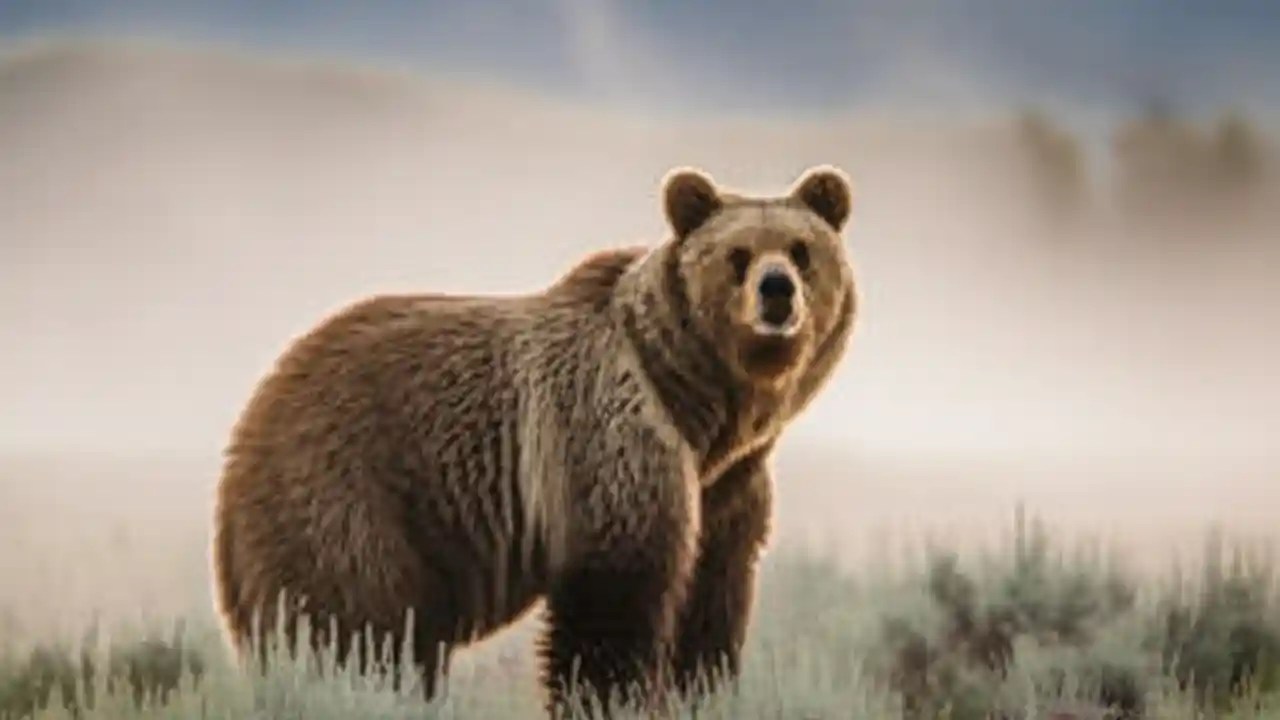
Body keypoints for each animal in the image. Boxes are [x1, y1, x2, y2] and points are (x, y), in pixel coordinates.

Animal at [211, 164, 859, 716]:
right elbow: (611, 603)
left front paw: (702, 690)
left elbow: (712, 600)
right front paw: (608, 700)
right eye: (737, 254)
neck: (697, 405)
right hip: (348, 500)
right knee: (354, 633)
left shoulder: (728, 487)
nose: (776, 291)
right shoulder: (606, 439)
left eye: (802, 251)